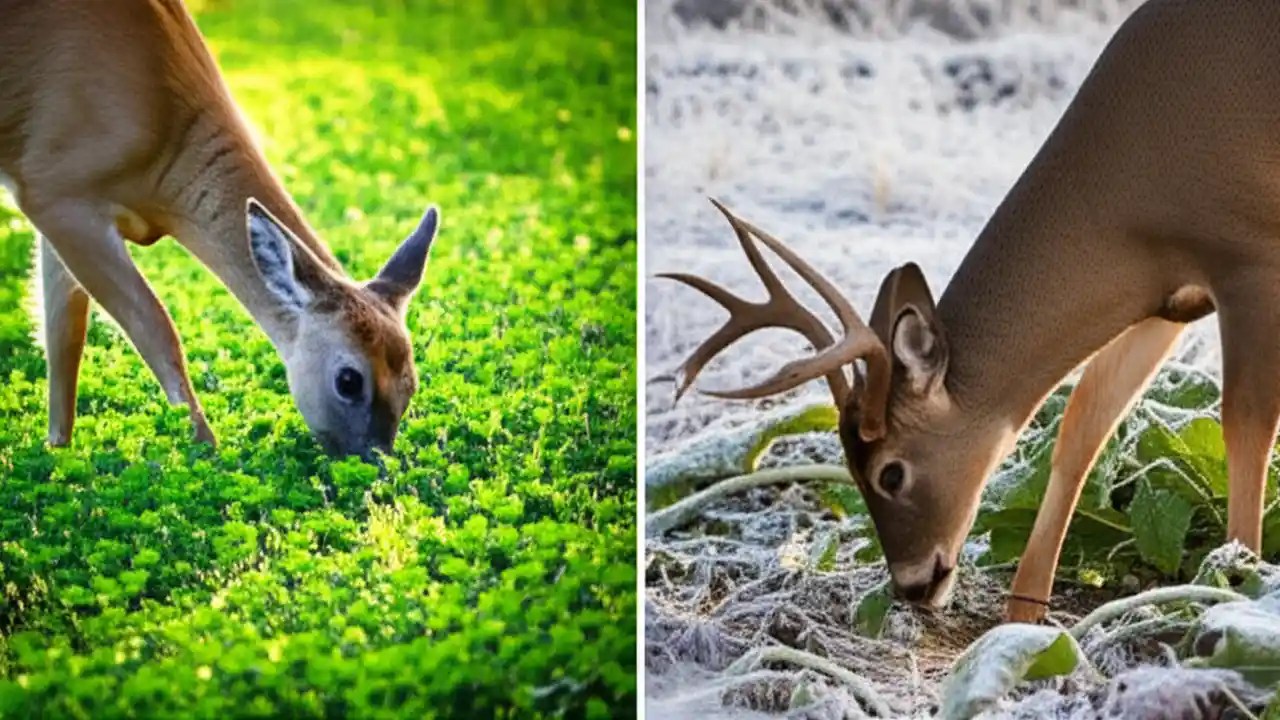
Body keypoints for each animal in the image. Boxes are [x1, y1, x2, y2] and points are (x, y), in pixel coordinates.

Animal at [0, 0, 438, 459]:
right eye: (349, 380)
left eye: (411, 382)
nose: (376, 461)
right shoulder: (55, 193)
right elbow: (155, 329)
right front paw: (206, 449)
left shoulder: (58, 209)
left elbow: (64, 335)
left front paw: (57, 449)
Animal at [659, 0, 1280, 623]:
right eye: (850, 467)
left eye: (890, 472)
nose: (912, 586)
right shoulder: (1164, 298)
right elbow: (1083, 425)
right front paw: (1021, 617)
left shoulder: (1249, 259)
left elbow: (1245, 422)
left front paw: (1236, 582)